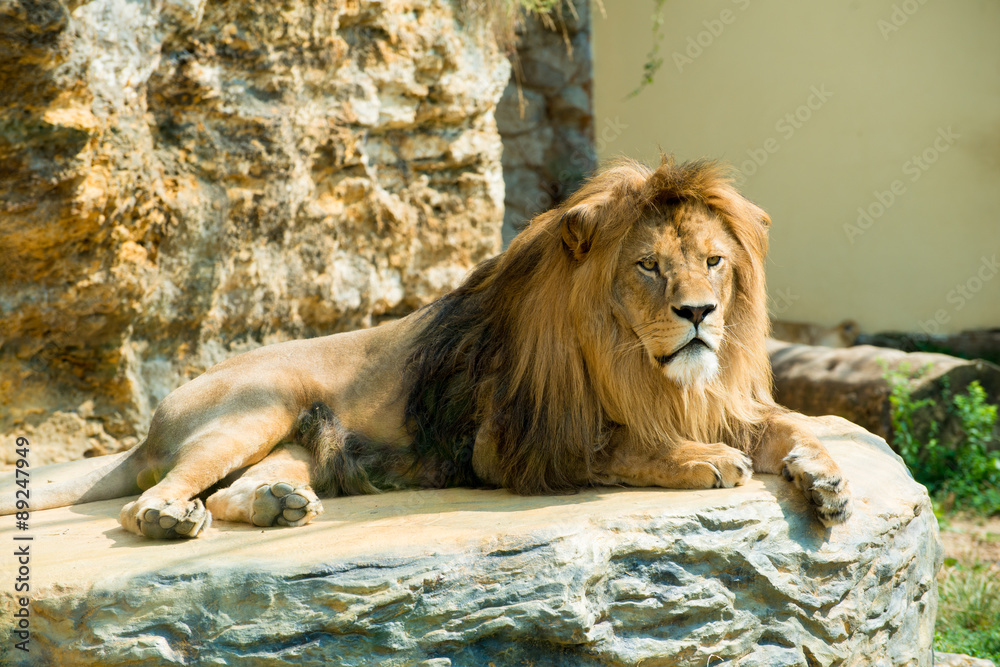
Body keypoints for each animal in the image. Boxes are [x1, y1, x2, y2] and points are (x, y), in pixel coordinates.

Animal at [0, 157, 852, 538]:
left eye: (714, 260)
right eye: (647, 265)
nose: (700, 313)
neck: (643, 367)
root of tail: (149, 423)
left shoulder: (727, 399)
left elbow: (793, 425)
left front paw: (825, 479)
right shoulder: (508, 443)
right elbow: (620, 444)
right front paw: (702, 458)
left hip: (303, 441)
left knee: (238, 489)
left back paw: (277, 503)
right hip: (260, 405)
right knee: (156, 496)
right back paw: (171, 517)